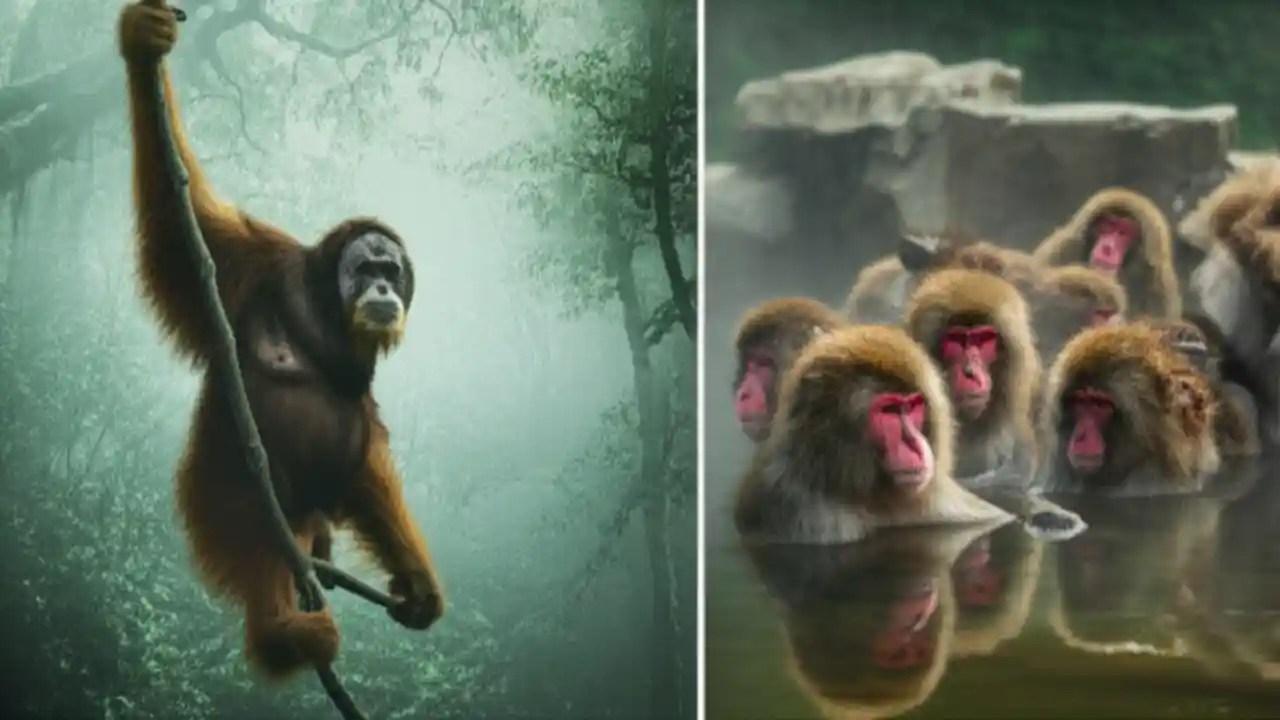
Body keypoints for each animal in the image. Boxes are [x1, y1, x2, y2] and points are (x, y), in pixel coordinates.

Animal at [119, 1, 441, 679]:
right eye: (367, 270)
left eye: (391, 270)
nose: (383, 289)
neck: (322, 306)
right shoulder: (253, 261)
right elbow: (181, 227)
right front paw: (141, 40)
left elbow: (364, 445)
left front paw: (419, 585)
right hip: (216, 501)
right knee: (262, 533)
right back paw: (282, 633)